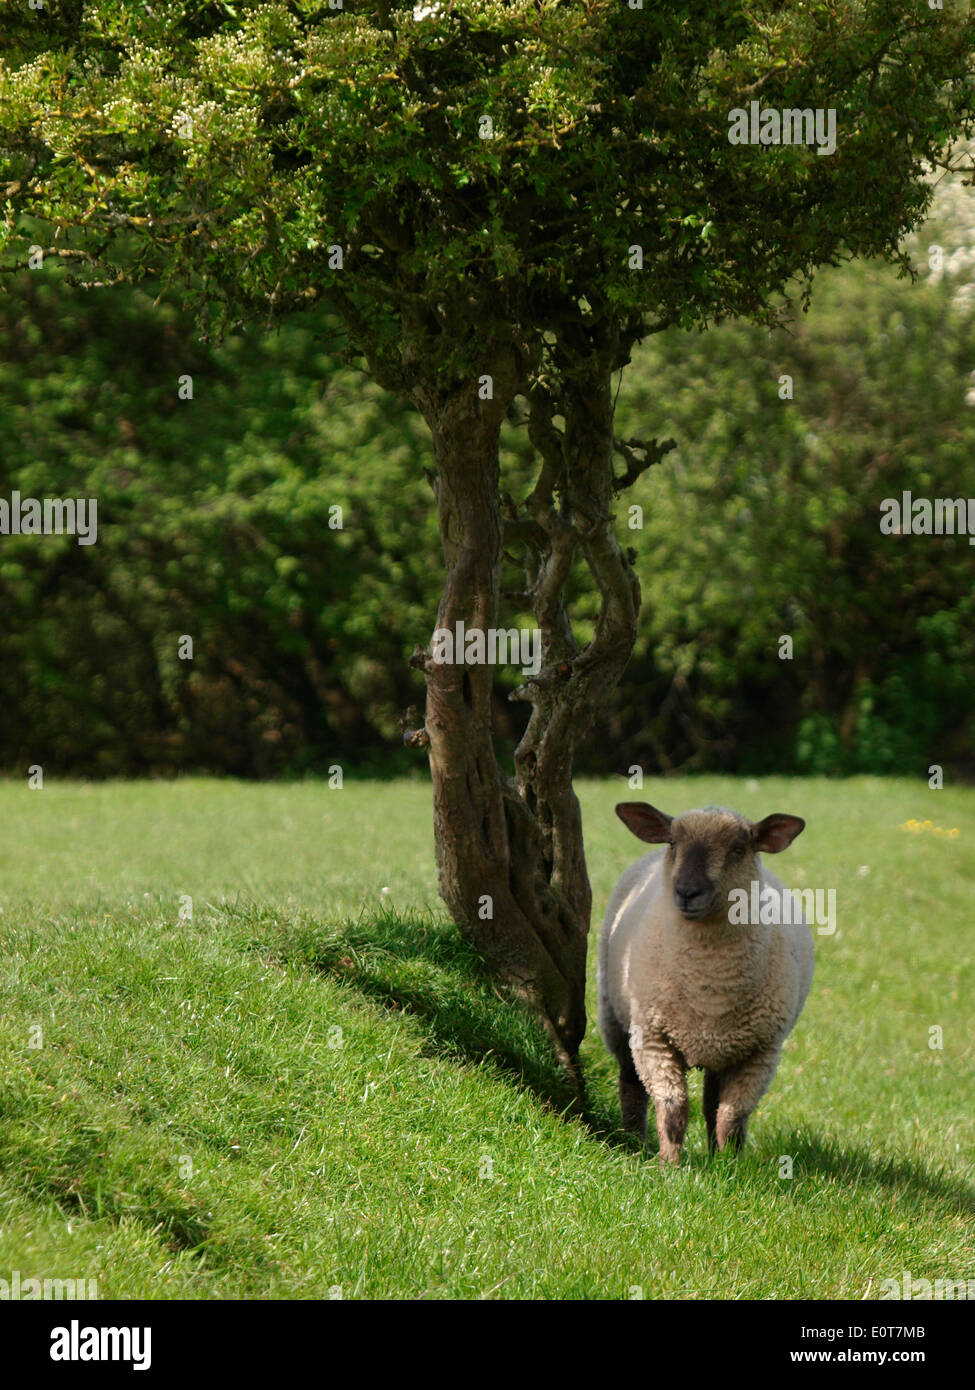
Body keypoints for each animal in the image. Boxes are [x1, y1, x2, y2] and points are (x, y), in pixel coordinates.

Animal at [598, 802, 814, 1164]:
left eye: (739, 848)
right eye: (672, 843)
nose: (686, 891)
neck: (710, 988)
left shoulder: (760, 1052)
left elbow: (732, 1115)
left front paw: (732, 1166)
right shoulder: (653, 1039)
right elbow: (673, 1108)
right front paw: (669, 1164)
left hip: (726, 1047)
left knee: (712, 1102)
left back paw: (715, 1154)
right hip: (615, 1019)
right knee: (630, 1084)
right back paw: (633, 1139)